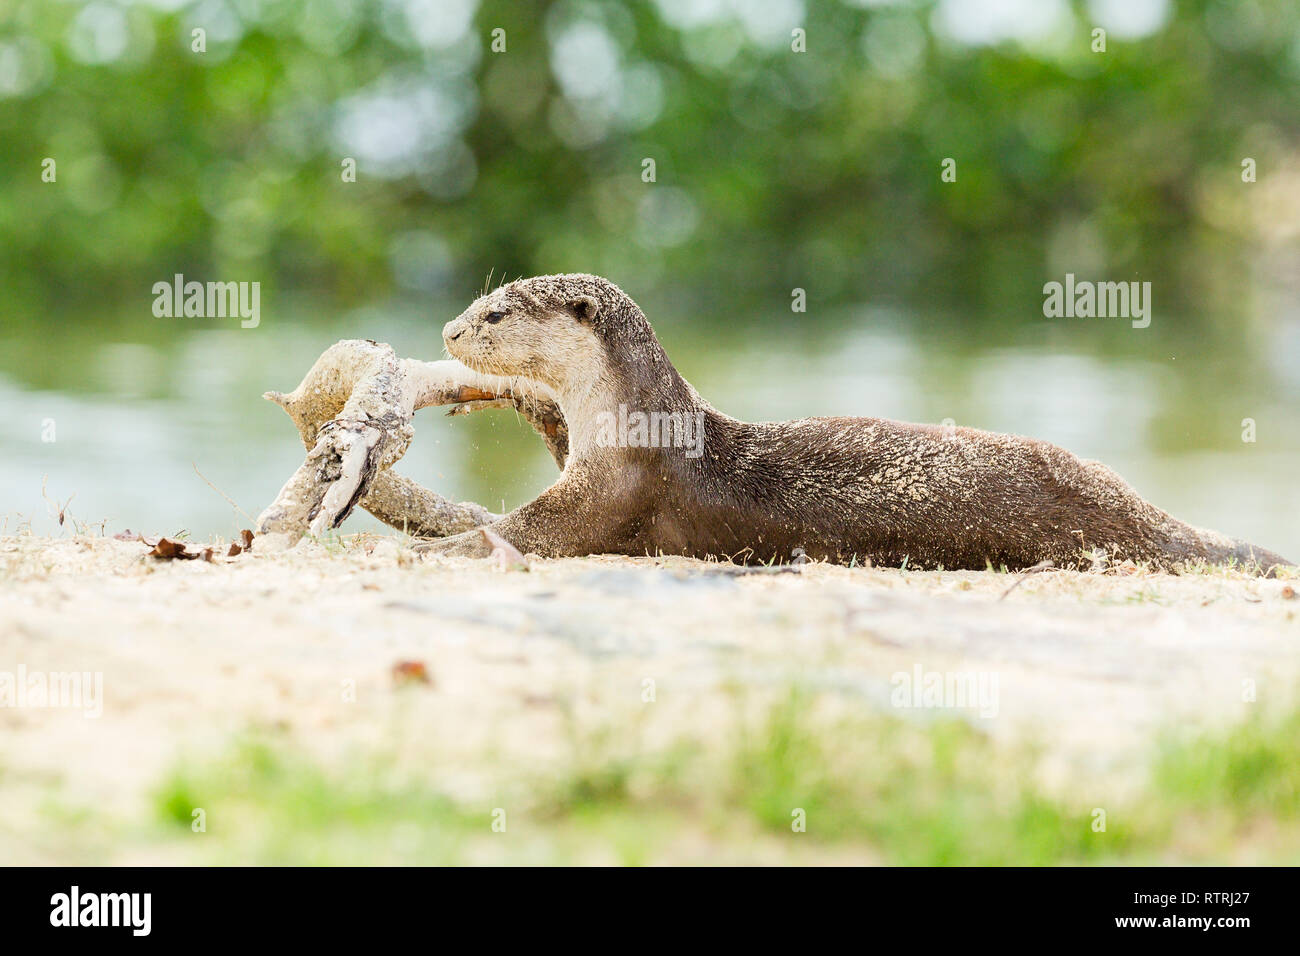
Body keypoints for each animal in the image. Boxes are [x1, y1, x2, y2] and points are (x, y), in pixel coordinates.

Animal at [416, 273, 1291, 573]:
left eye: (495, 312)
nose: (449, 331)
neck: (638, 422)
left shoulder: (615, 487)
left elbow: (537, 526)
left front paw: (445, 546)